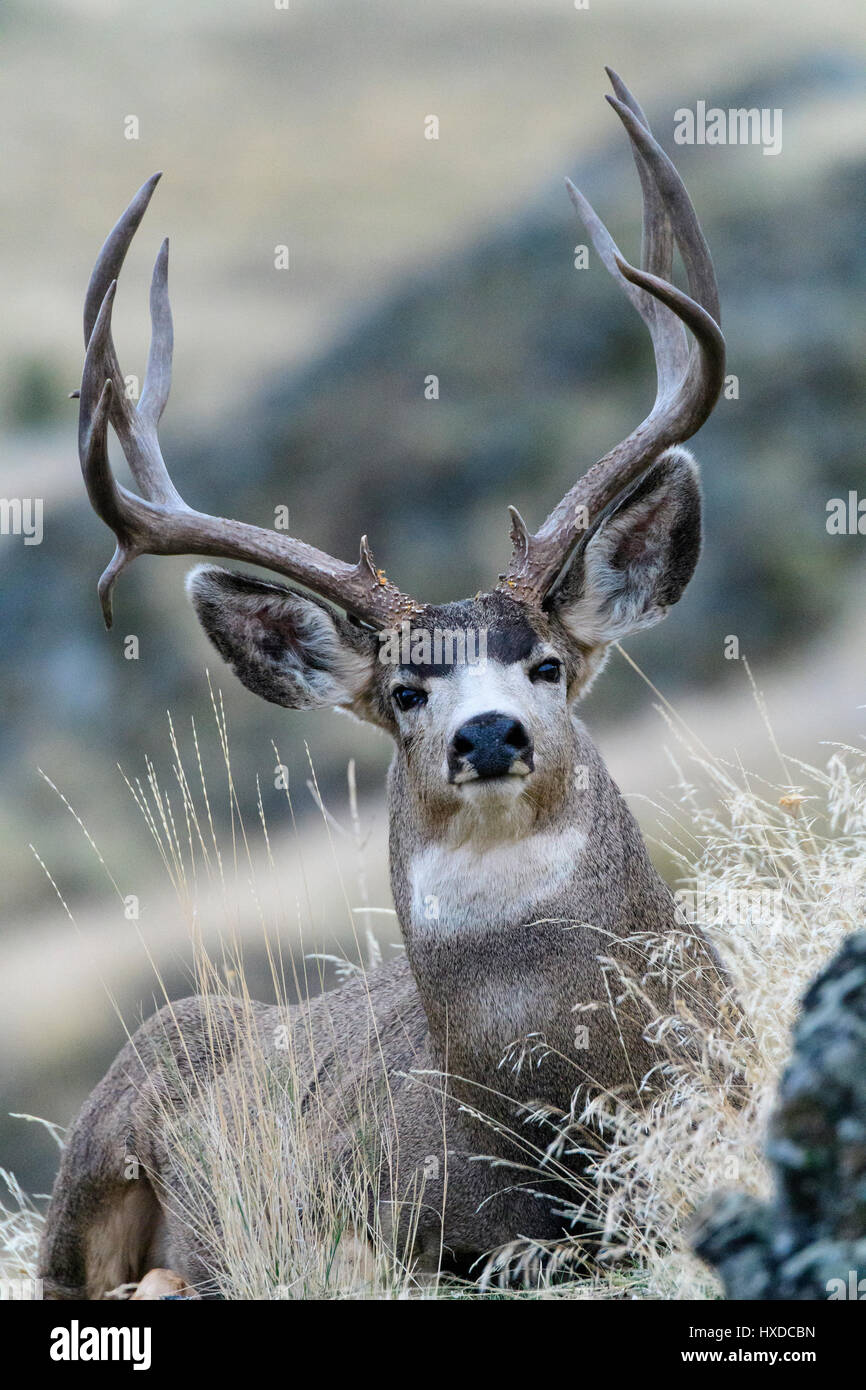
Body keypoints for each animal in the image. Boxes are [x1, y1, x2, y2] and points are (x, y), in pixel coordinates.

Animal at [39, 70, 733, 1299]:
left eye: (546, 663)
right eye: (406, 693)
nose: (490, 735)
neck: (554, 1101)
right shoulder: (388, 1220)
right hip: (122, 1102)